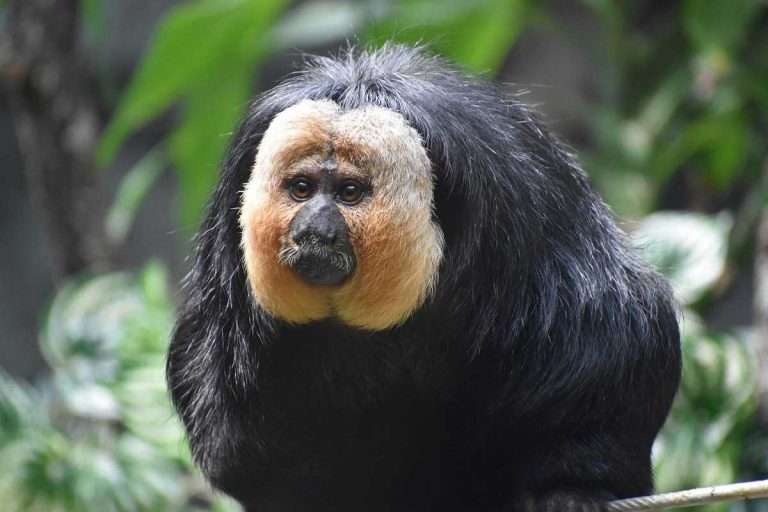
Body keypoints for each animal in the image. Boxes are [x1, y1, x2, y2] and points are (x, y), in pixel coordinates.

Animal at [167, 44, 681, 512]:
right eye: (301, 189)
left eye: (349, 192)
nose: (313, 229)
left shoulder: (518, 209)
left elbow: (610, 337)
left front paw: (571, 489)